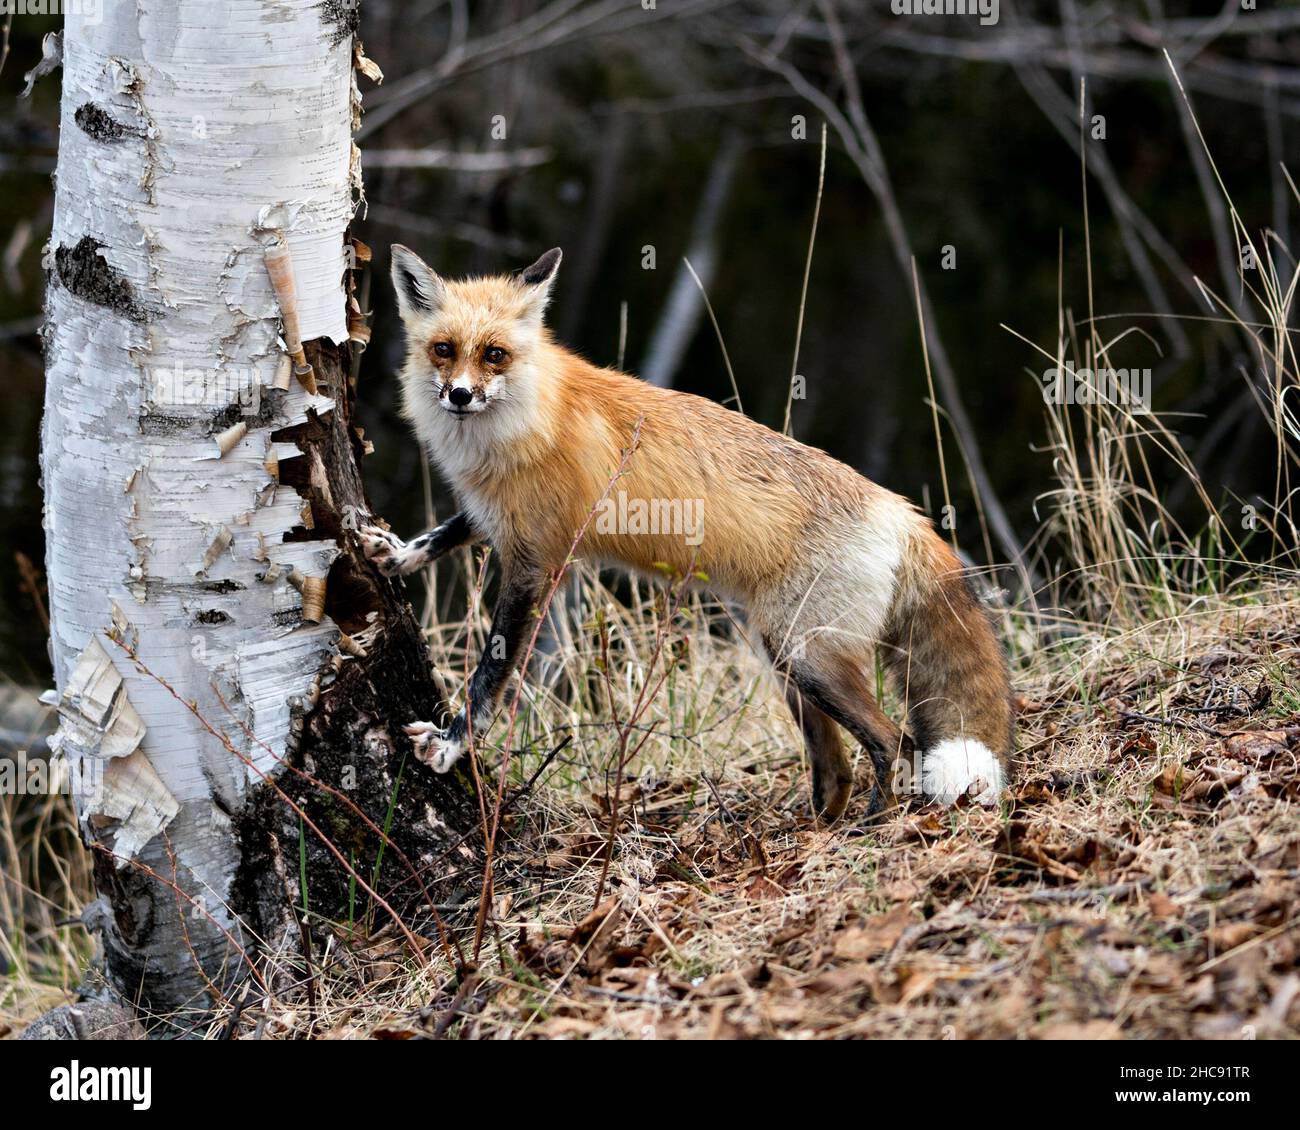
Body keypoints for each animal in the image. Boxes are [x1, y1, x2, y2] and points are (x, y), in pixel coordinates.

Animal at [360, 244, 1015, 820]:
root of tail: (903, 511)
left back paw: (868, 832)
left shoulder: (536, 561)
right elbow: (447, 532)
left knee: (895, 742)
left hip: (807, 655)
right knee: (837, 769)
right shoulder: (499, 516)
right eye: (444, 349)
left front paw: (453, 742)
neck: (520, 420)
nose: (459, 395)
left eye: (494, 354)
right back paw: (813, 832)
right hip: (783, 656)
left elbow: (490, 673)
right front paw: (396, 555)